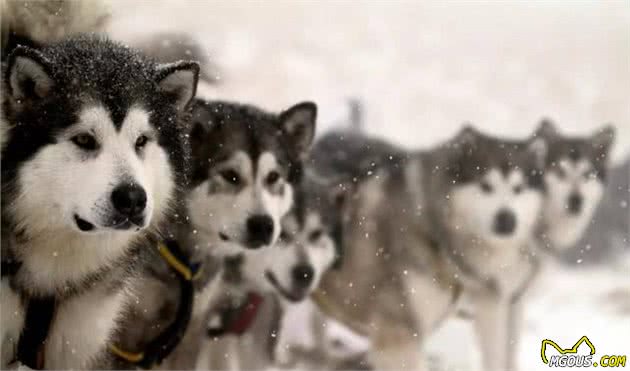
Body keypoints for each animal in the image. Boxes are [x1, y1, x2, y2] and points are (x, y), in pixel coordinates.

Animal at [314, 126, 552, 370]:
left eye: (518, 189)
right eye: (486, 186)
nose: (507, 219)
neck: (433, 232)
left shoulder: (505, 300)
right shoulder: (399, 331)